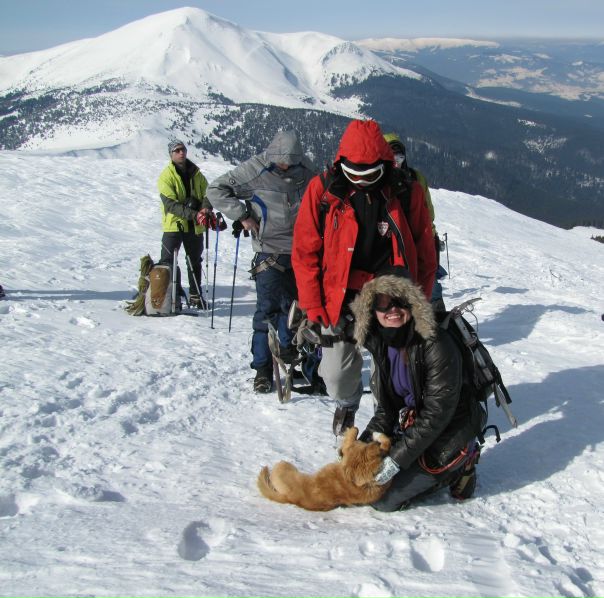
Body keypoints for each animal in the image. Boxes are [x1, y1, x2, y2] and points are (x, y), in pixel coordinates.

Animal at [257, 427, 392, 511]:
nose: (374, 441)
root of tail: (290, 499)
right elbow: (386, 443)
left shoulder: (350, 447)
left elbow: (355, 430)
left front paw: (376, 435)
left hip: (284, 466)